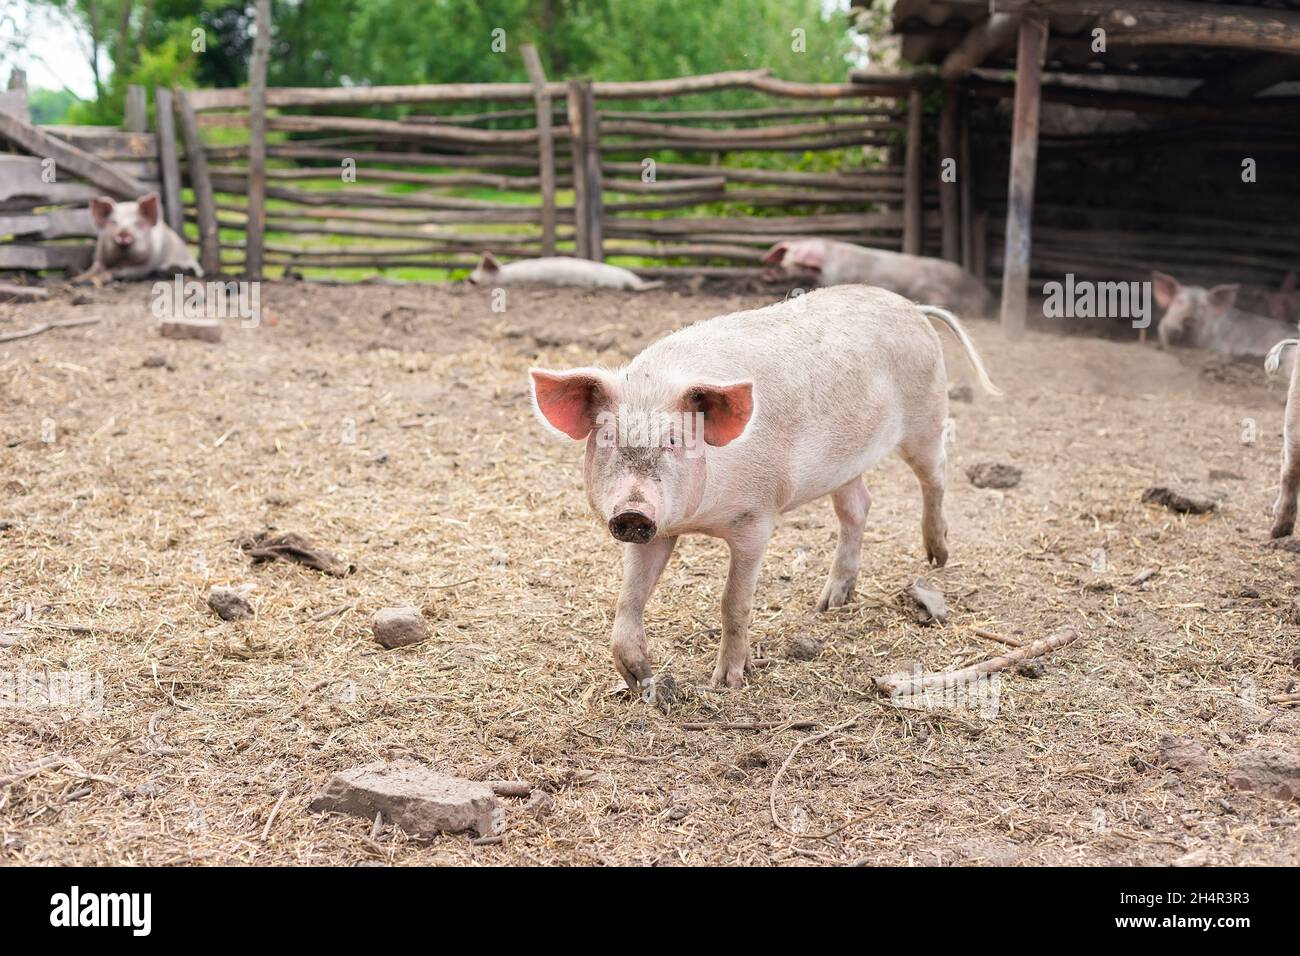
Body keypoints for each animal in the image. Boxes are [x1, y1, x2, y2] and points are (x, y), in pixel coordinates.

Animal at [73, 193, 202, 285]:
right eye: (113, 222)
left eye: (138, 223)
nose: (123, 232)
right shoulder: (98, 257)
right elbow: (94, 268)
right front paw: (76, 280)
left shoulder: (147, 264)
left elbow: (118, 272)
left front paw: (96, 280)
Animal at [529, 284, 999, 691]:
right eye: (607, 437)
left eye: (675, 439)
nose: (631, 511)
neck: (702, 520)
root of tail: (913, 307)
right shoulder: (656, 530)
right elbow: (629, 599)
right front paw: (642, 680)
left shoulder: (757, 517)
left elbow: (733, 602)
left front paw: (727, 683)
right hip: (845, 465)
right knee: (858, 507)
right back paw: (829, 603)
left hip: (926, 419)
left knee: (935, 475)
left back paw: (937, 555)